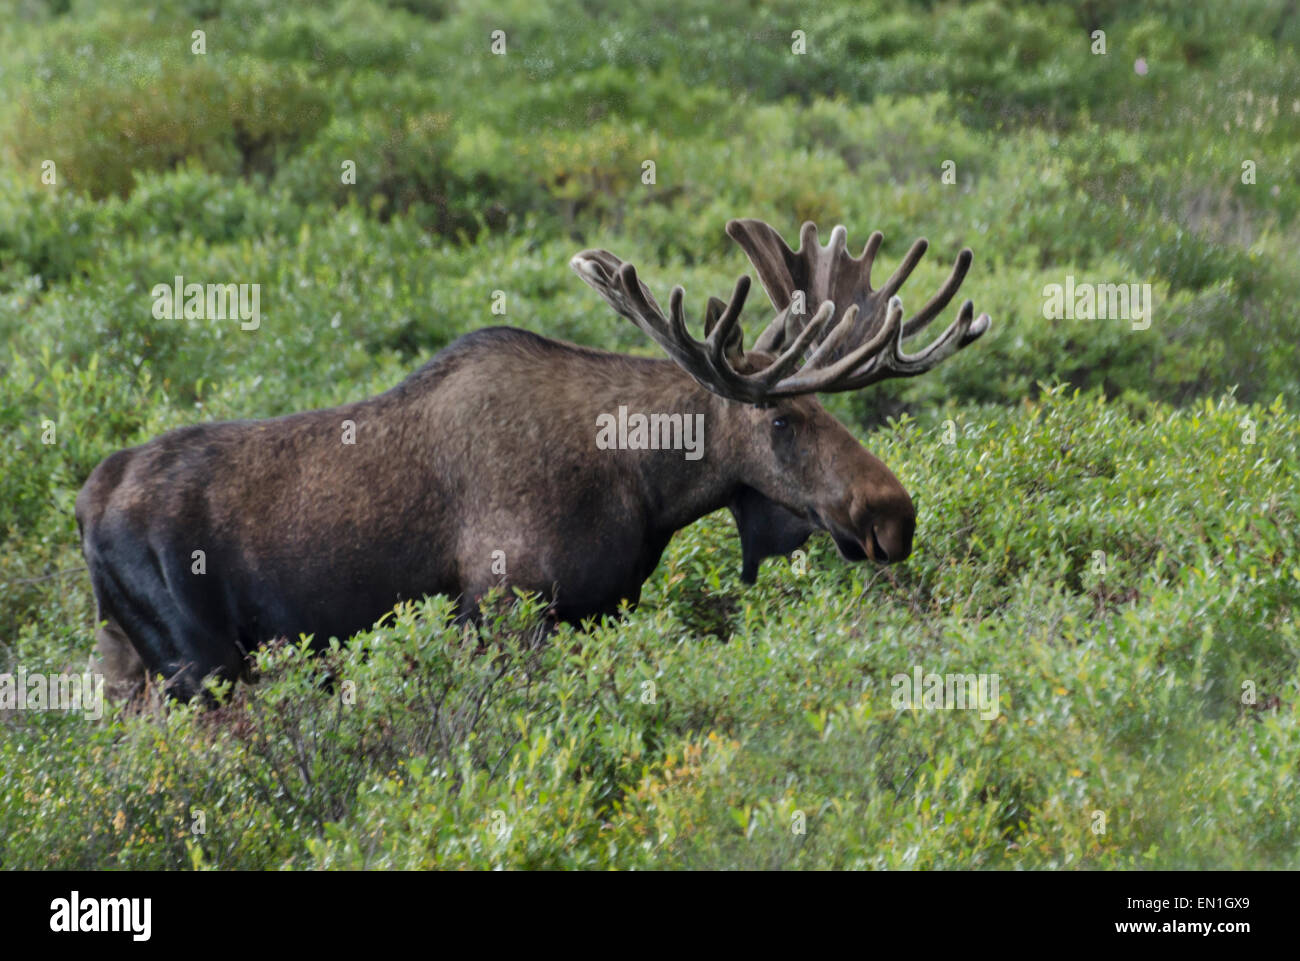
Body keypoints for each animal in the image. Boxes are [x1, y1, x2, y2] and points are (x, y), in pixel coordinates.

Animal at [76, 219, 990, 701]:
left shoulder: (602, 606)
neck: (645, 490)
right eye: (782, 417)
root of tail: (85, 503)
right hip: (199, 661)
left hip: (125, 661)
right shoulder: (506, 608)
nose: (893, 513)